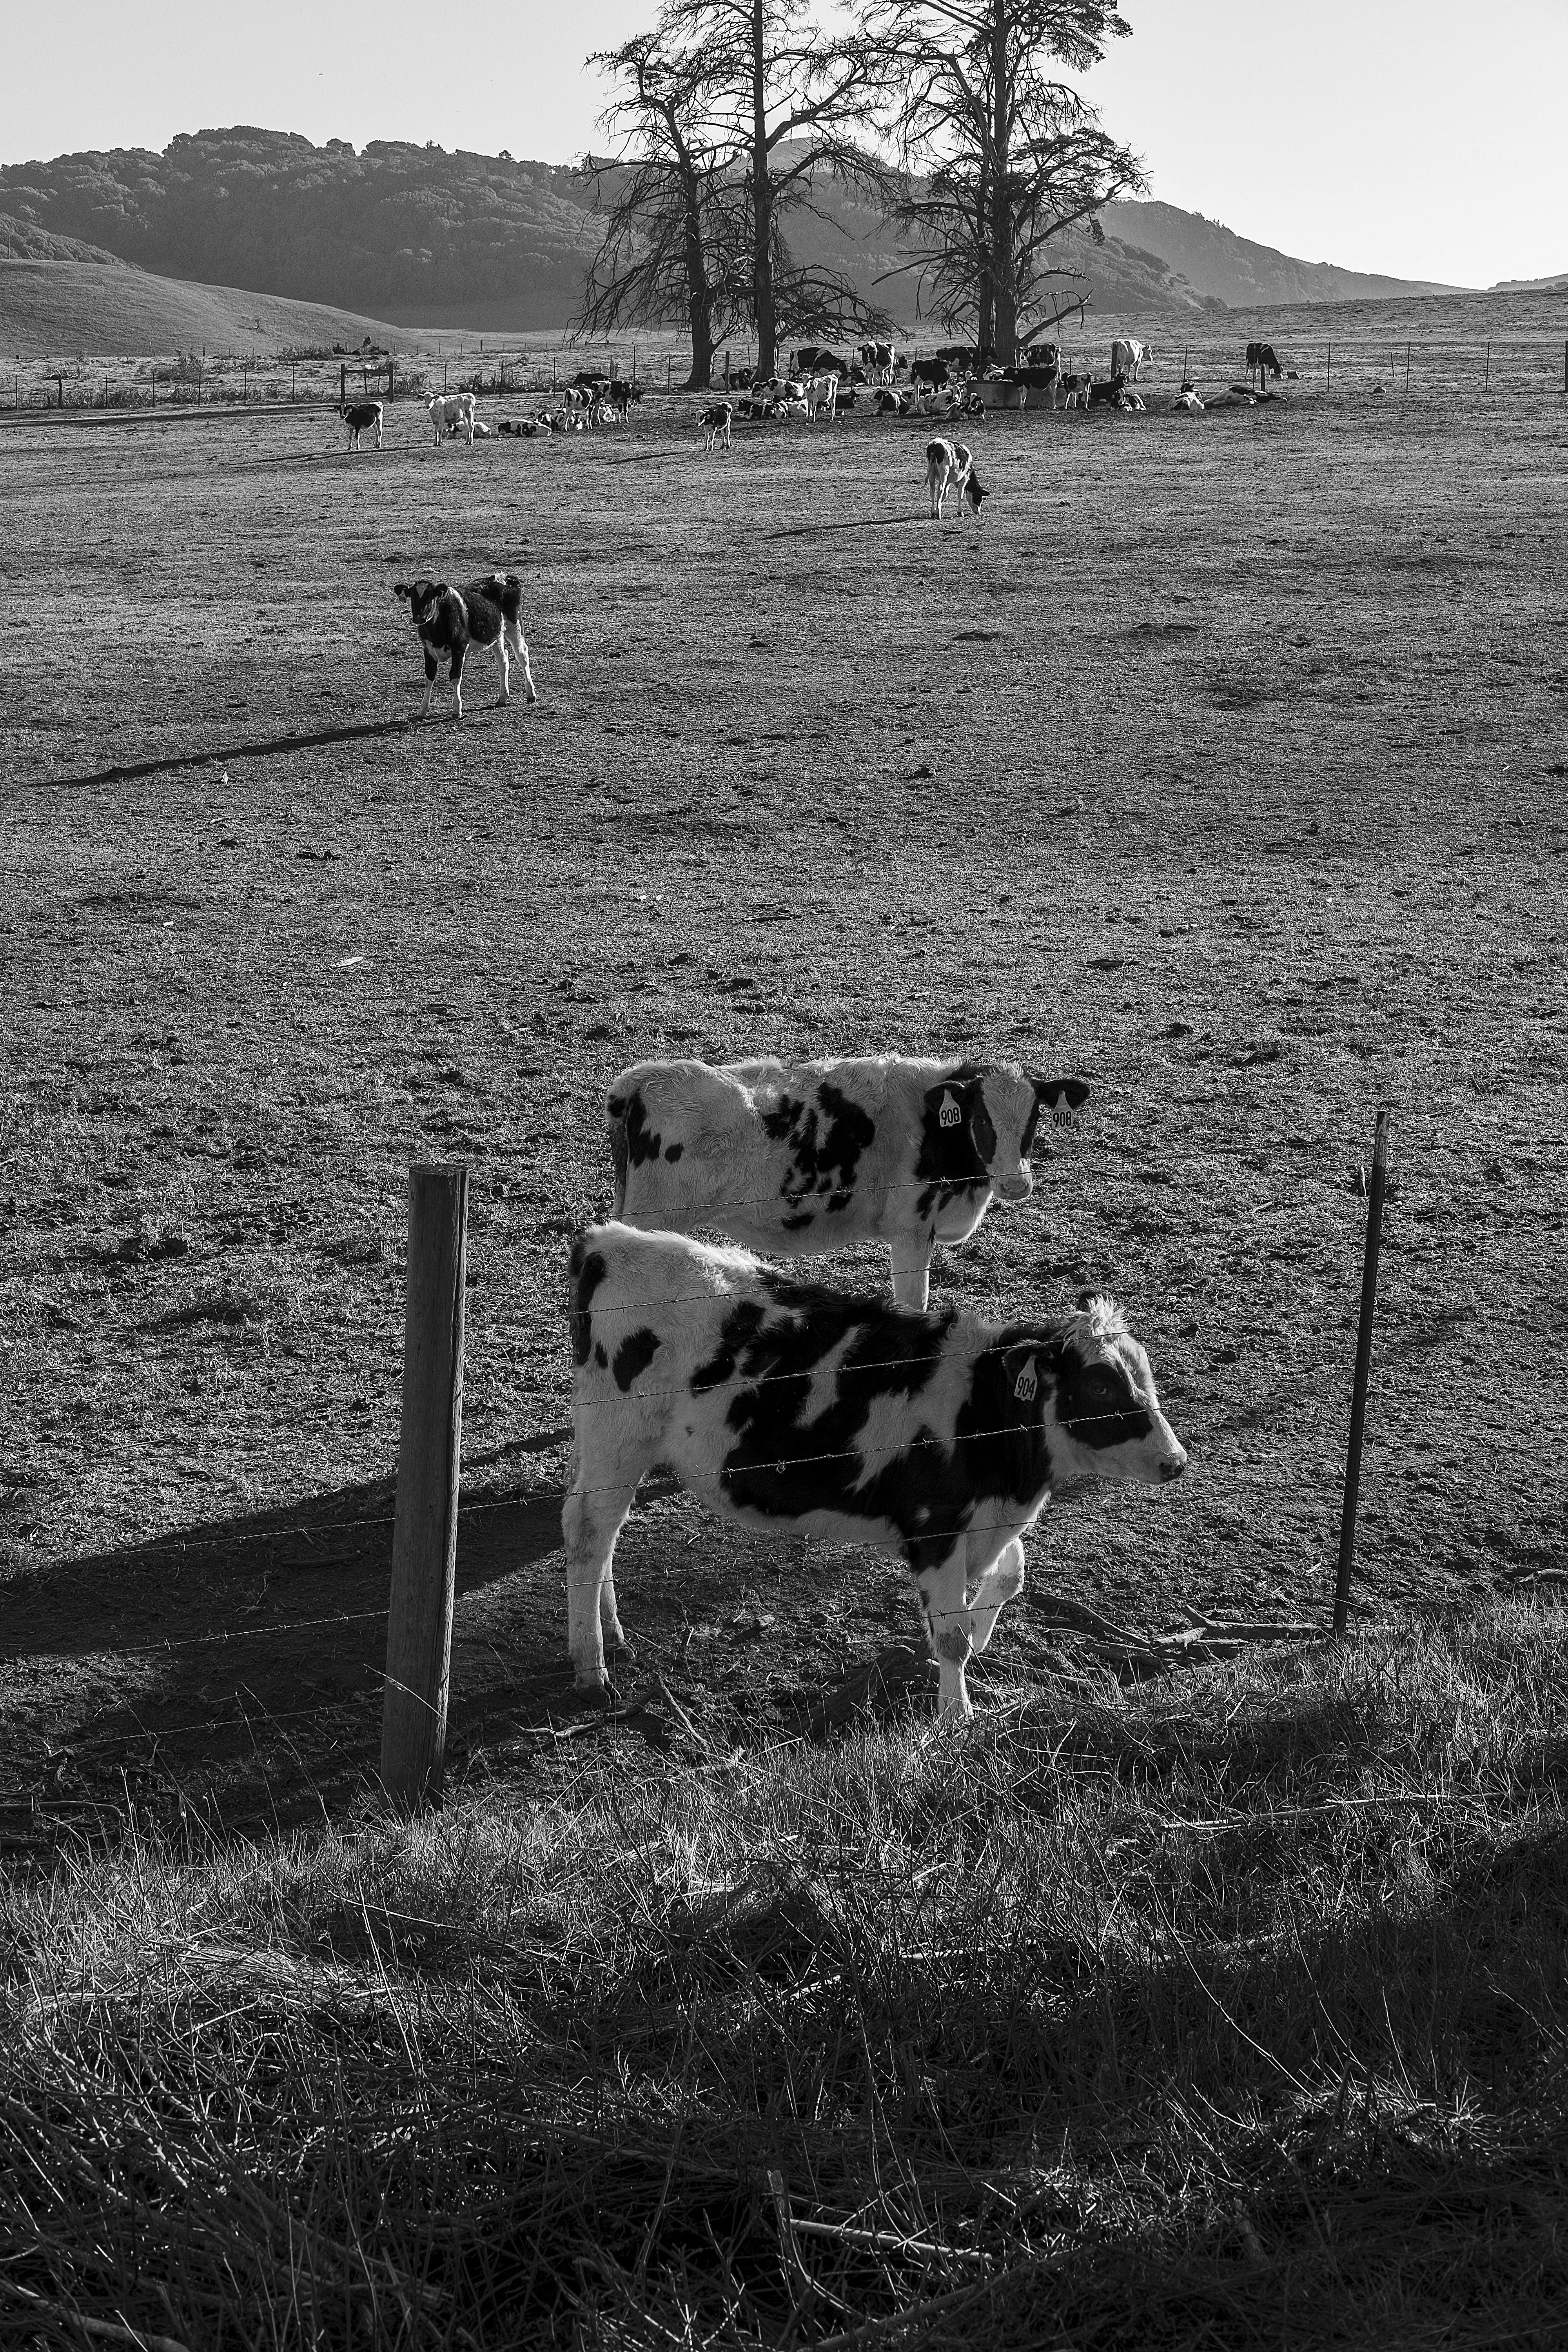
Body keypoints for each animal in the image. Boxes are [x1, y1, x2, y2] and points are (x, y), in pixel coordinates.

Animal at [338, 400, 383, 452]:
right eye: (340, 410)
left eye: (346, 409)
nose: (343, 416)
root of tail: (377, 403)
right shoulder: (350, 428)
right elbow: (350, 437)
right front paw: (349, 447)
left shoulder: (358, 426)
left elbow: (357, 436)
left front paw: (358, 447)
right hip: (374, 424)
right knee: (376, 433)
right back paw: (375, 445)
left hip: (379, 420)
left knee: (380, 432)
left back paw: (379, 445)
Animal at [392, 572, 536, 720]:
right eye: (413, 598)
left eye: (431, 598)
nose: (419, 618)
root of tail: (505, 577)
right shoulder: (428, 650)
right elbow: (429, 678)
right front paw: (422, 711)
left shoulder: (459, 647)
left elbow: (455, 677)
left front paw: (457, 710)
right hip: (496, 633)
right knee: (503, 660)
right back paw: (503, 698)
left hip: (514, 624)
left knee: (522, 656)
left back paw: (531, 694)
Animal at [426, 392, 477, 446]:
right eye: (425, 399)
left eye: (432, 399)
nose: (428, 407)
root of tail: (470, 394)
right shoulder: (435, 422)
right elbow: (436, 432)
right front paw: (435, 443)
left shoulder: (441, 420)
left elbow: (439, 432)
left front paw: (439, 443)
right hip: (465, 417)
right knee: (468, 429)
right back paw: (467, 442)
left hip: (470, 414)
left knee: (471, 427)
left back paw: (471, 442)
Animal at [563, 1228, 1188, 1720]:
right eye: (1101, 1387)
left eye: (1145, 1374)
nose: (1176, 1461)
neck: (982, 1415)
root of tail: (607, 1240)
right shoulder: (935, 1525)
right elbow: (952, 1639)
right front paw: (957, 1720)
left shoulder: (985, 1522)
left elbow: (1009, 1576)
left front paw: (978, 1638)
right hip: (619, 1439)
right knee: (590, 1532)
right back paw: (592, 1670)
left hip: (603, 1445)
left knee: (592, 1528)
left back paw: (613, 1635)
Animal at [606, 1055, 1087, 1313]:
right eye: (981, 1119)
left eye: (1035, 1118)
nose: (1016, 1184)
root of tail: (640, 1080)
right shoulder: (911, 1232)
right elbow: (913, 1305)